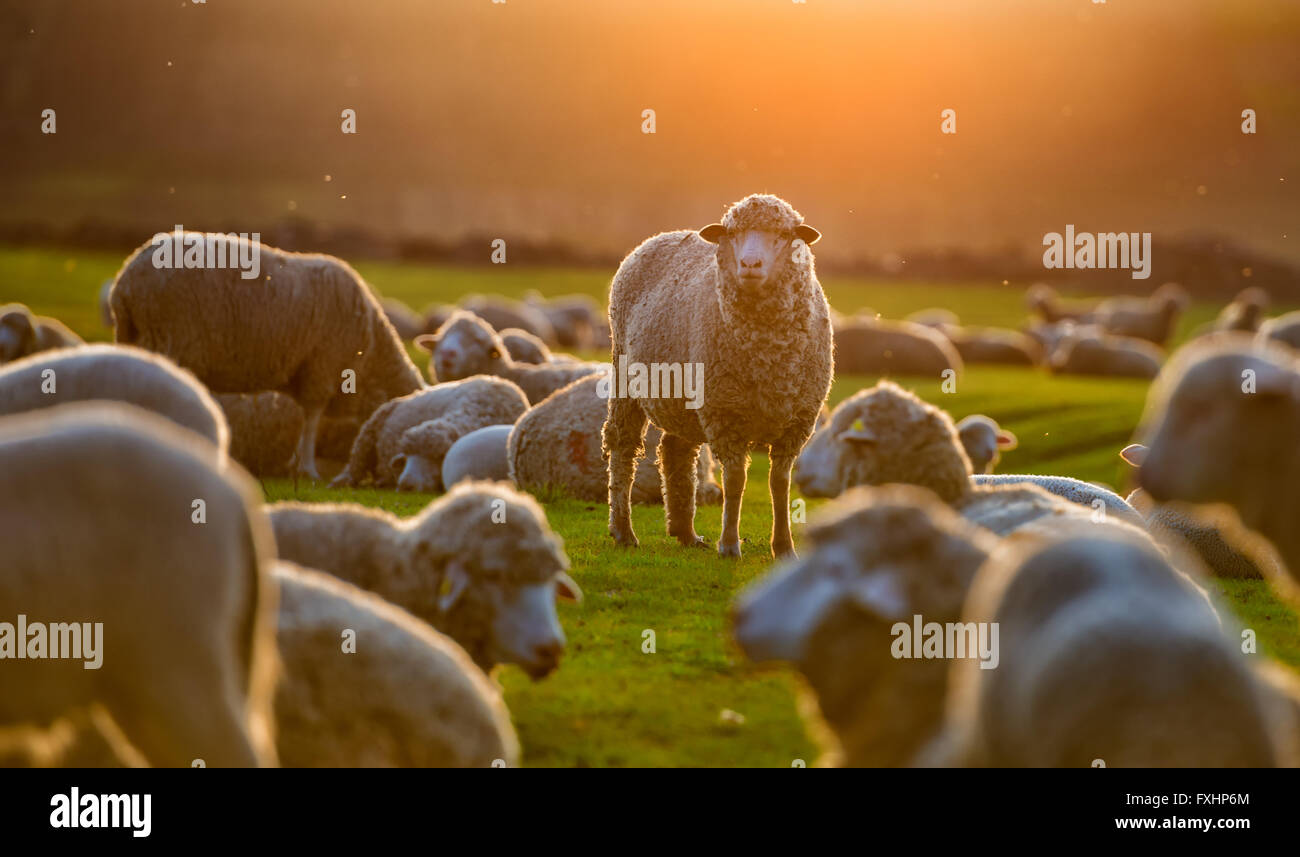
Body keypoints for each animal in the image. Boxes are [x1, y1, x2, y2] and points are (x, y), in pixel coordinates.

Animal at [110, 231, 424, 479]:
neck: (373, 355)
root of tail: (126, 280)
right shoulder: (322, 367)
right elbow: (312, 419)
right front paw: (307, 468)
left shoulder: (305, 371)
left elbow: (303, 417)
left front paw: (294, 464)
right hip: (172, 339)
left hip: (133, 338)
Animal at [330, 375, 529, 492]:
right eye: (407, 457)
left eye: (437, 457)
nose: (405, 485)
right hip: (367, 433)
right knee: (355, 464)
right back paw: (340, 481)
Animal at [603, 193, 833, 558]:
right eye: (732, 233)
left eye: (783, 235)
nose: (750, 265)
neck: (767, 351)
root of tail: (660, 236)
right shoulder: (726, 413)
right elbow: (736, 480)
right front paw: (729, 545)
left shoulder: (796, 423)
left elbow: (779, 483)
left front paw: (784, 546)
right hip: (624, 374)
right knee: (622, 446)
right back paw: (624, 531)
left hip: (684, 396)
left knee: (676, 449)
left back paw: (685, 532)